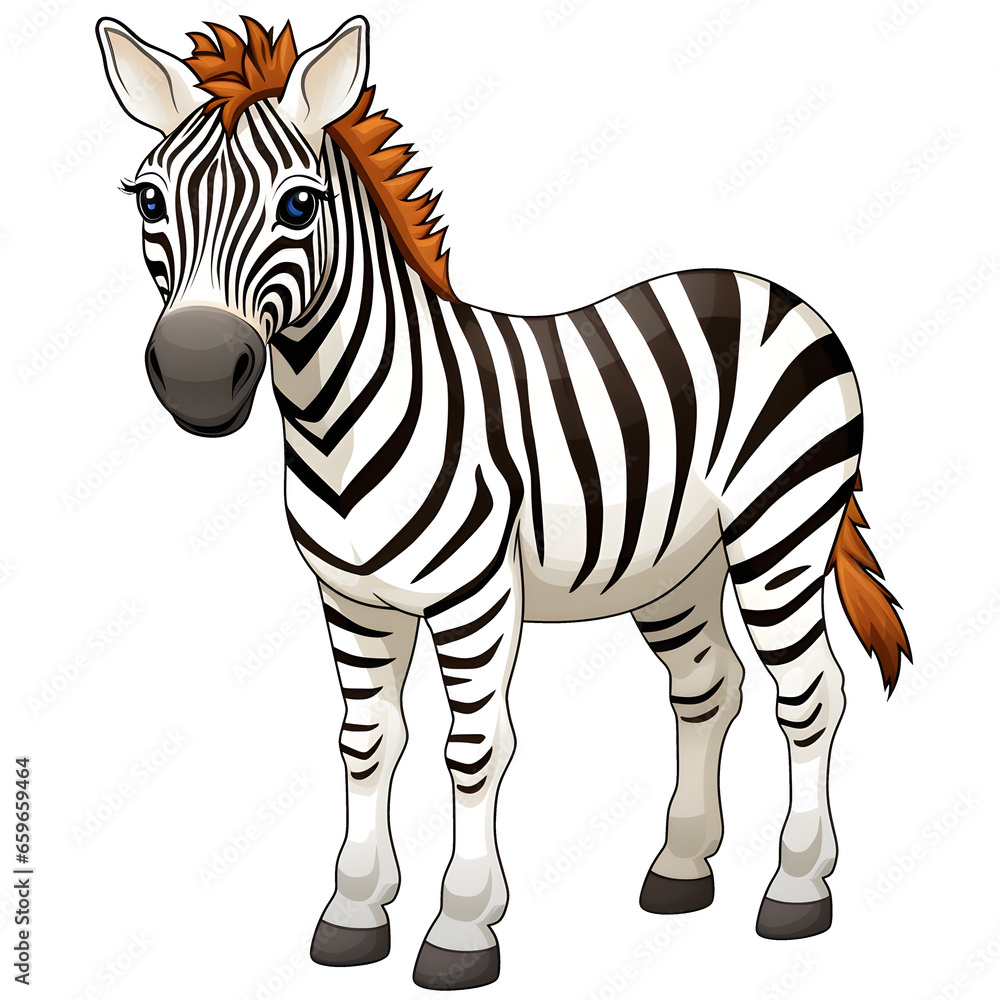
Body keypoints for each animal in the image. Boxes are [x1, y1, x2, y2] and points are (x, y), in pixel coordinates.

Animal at [96, 15, 910, 991]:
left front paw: (461, 926)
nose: (196, 374)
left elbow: (476, 747)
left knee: (811, 692)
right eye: (148, 201)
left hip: (780, 533)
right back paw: (682, 867)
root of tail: (772, 289)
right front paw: (354, 909)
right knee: (707, 687)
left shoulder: (475, 599)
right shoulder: (354, 600)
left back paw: (796, 887)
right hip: (676, 566)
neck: (340, 418)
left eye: (298, 208)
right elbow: (365, 741)